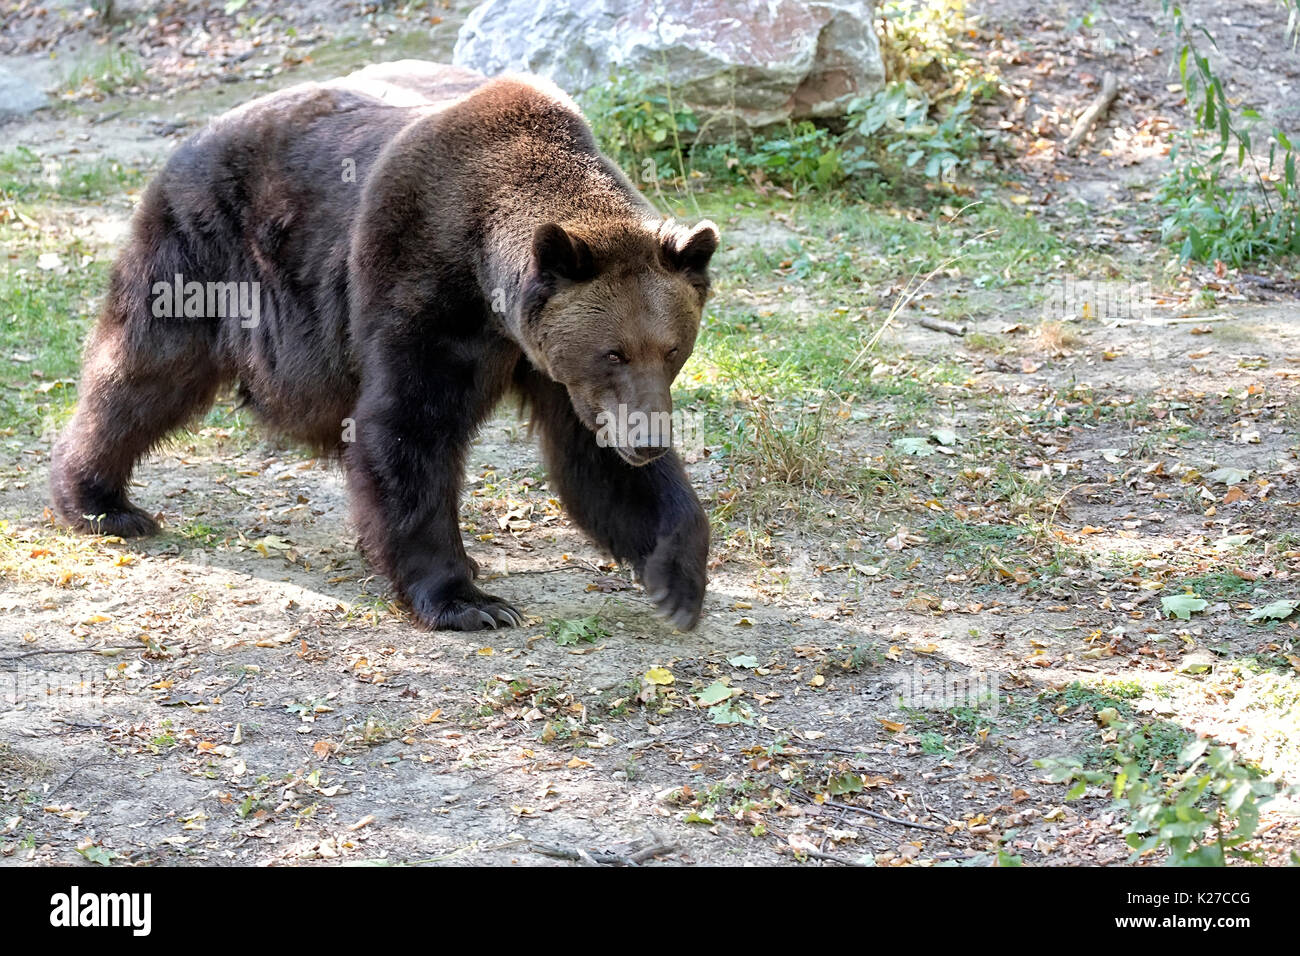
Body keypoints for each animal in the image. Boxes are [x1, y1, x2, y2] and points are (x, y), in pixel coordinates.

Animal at [49, 61, 718, 632]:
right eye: (614, 352)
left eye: (672, 350)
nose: (648, 438)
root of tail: (196, 135)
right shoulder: (419, 284)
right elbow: (405, 428)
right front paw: (467, 600)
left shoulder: (552, 364)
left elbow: (594, 458)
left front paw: (678, 578)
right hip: (206, 255)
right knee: (146, 372)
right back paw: (100, 503)